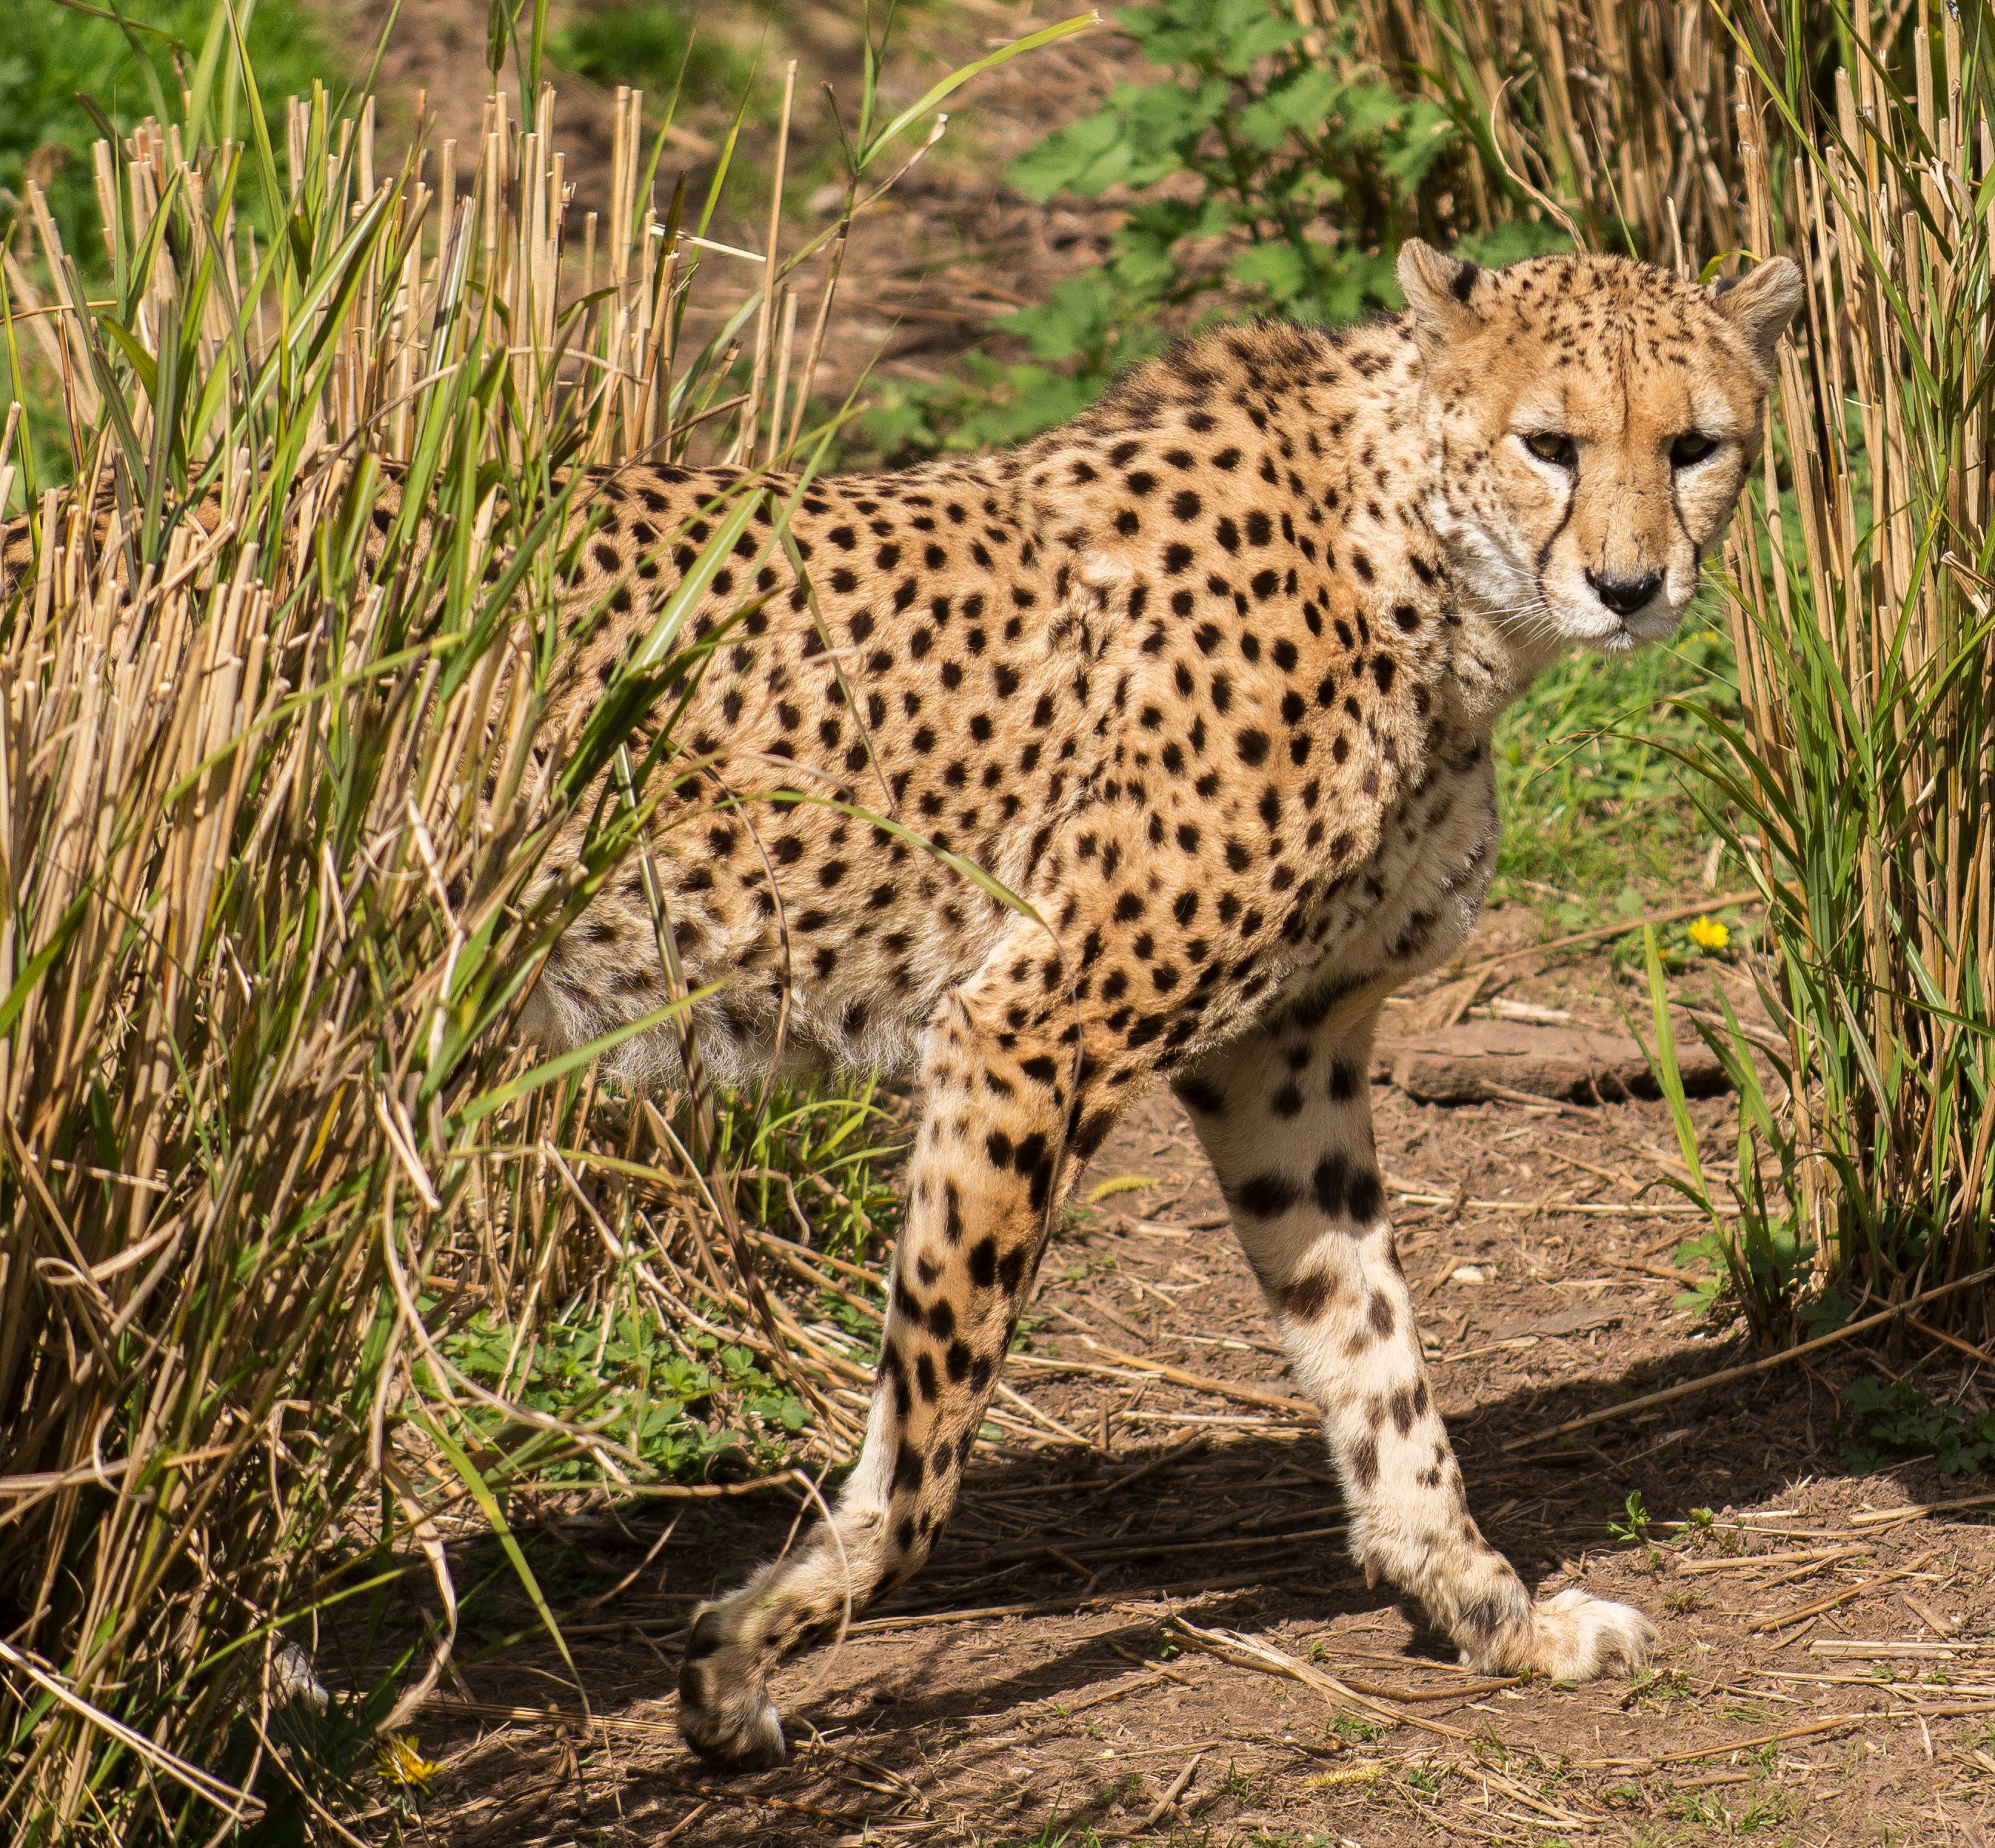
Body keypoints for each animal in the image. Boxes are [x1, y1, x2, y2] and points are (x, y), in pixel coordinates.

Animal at [5, 238, 1802, 1770]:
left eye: (1696, 444)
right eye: (1549, 442)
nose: (1632, 586)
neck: (1424, 568)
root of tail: (91, 511)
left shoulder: (1279, 1055)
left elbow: (1375, 1360)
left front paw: (1488, 1606)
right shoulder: (1031, 1025)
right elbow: (931, 1438)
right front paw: (746, 1654)